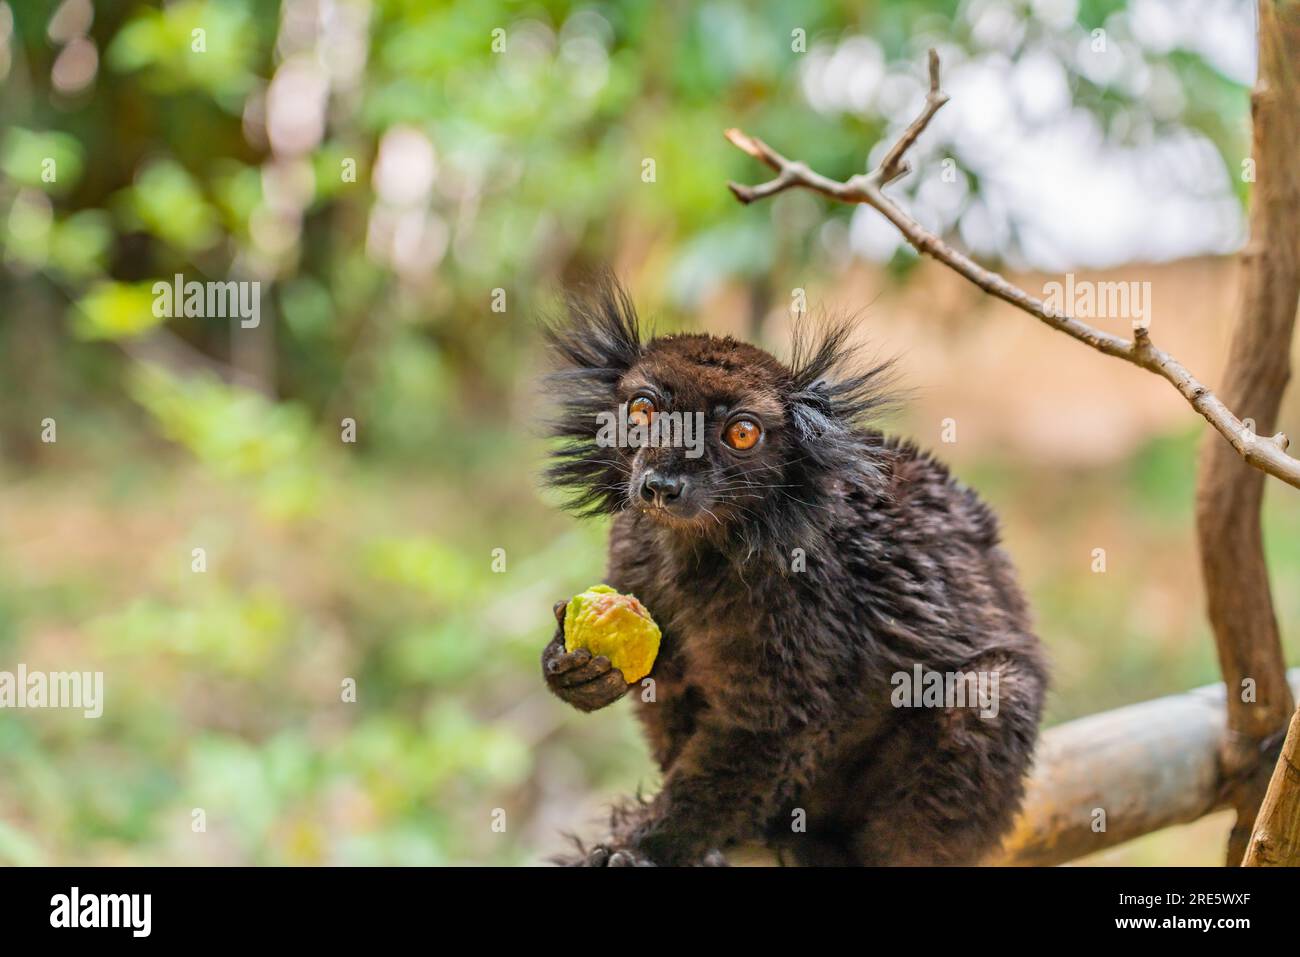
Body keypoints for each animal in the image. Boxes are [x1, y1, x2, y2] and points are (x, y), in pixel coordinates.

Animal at [538, 276, 1047, 866]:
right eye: (642, 410)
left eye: (741, 434)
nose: (662, 486)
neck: (700, 546)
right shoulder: (635, 547)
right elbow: (659, 674)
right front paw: (577, 670)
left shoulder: (797, 591)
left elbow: (775, 725)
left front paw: (646, 847)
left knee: (989, 695)